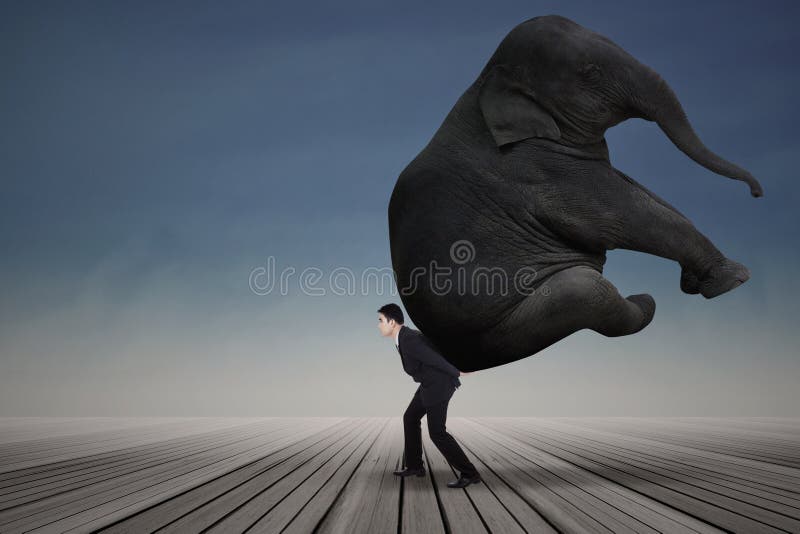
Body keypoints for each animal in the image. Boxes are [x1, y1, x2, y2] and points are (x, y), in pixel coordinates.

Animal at [387, 15, 763, 373]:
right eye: (591, 73)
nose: (756, 192)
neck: (486, 78)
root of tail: (454, 356)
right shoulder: (537, 168)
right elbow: (621, 217)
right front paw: (734, 279)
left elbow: (639, 190)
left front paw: (698, 280)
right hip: (503, 329)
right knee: (591, 291)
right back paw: (645, 301)